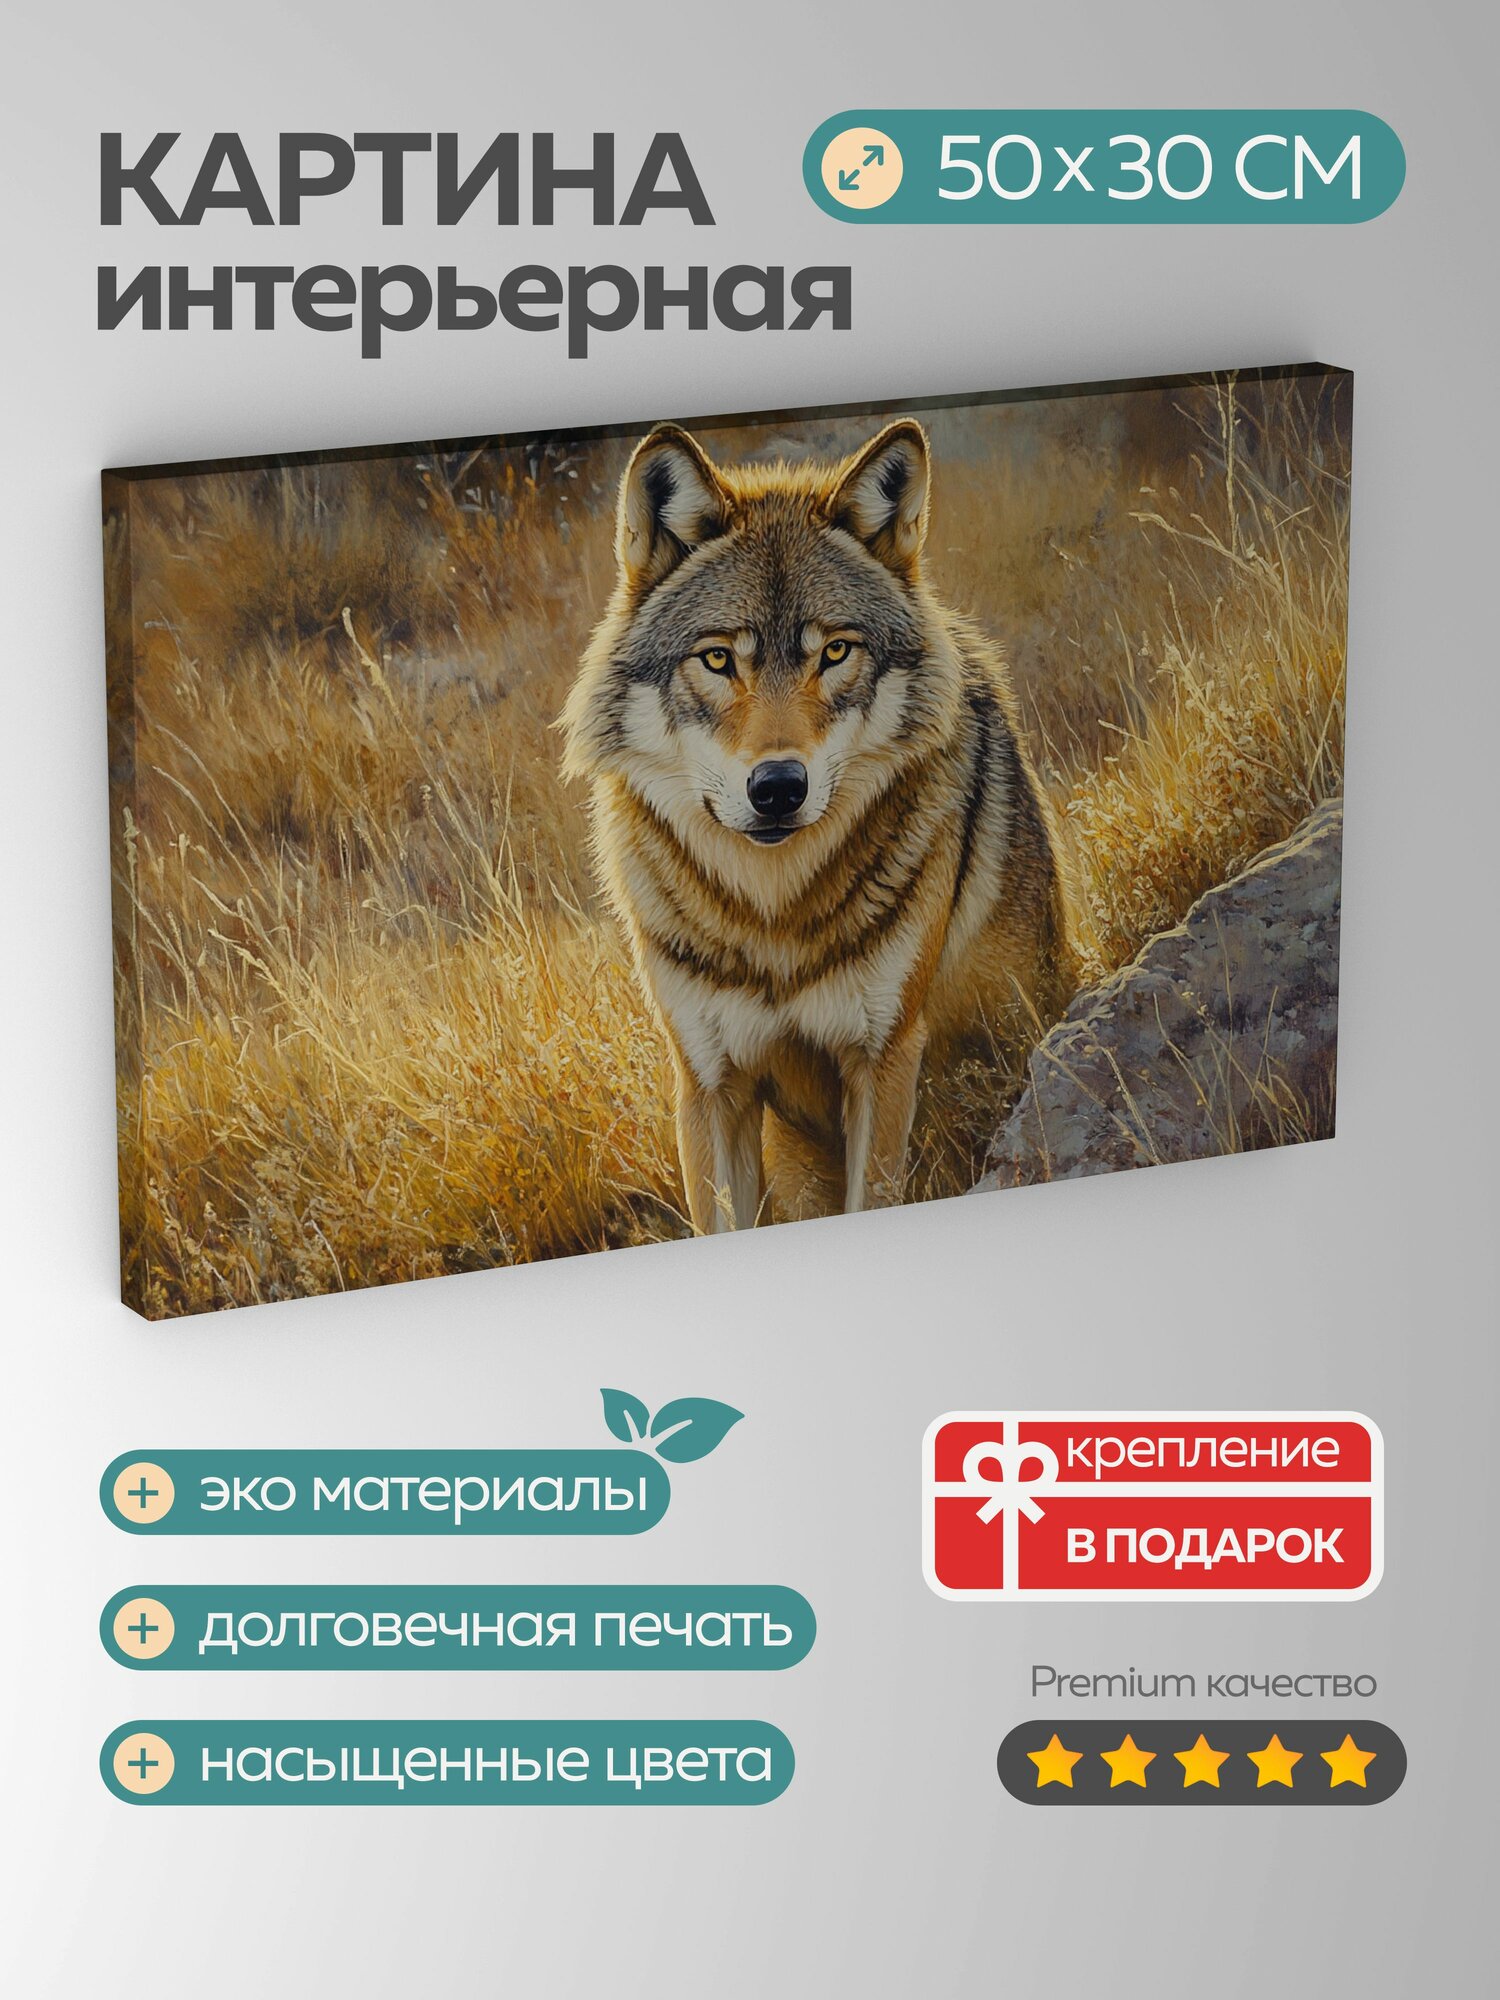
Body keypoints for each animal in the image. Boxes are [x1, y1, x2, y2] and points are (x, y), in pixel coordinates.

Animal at [560, 417, 1076, 1232]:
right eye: (718, 659)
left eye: (834, 651)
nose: (777, 788)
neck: (775, 920)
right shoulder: (708, 1082)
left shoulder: (883, 1058)